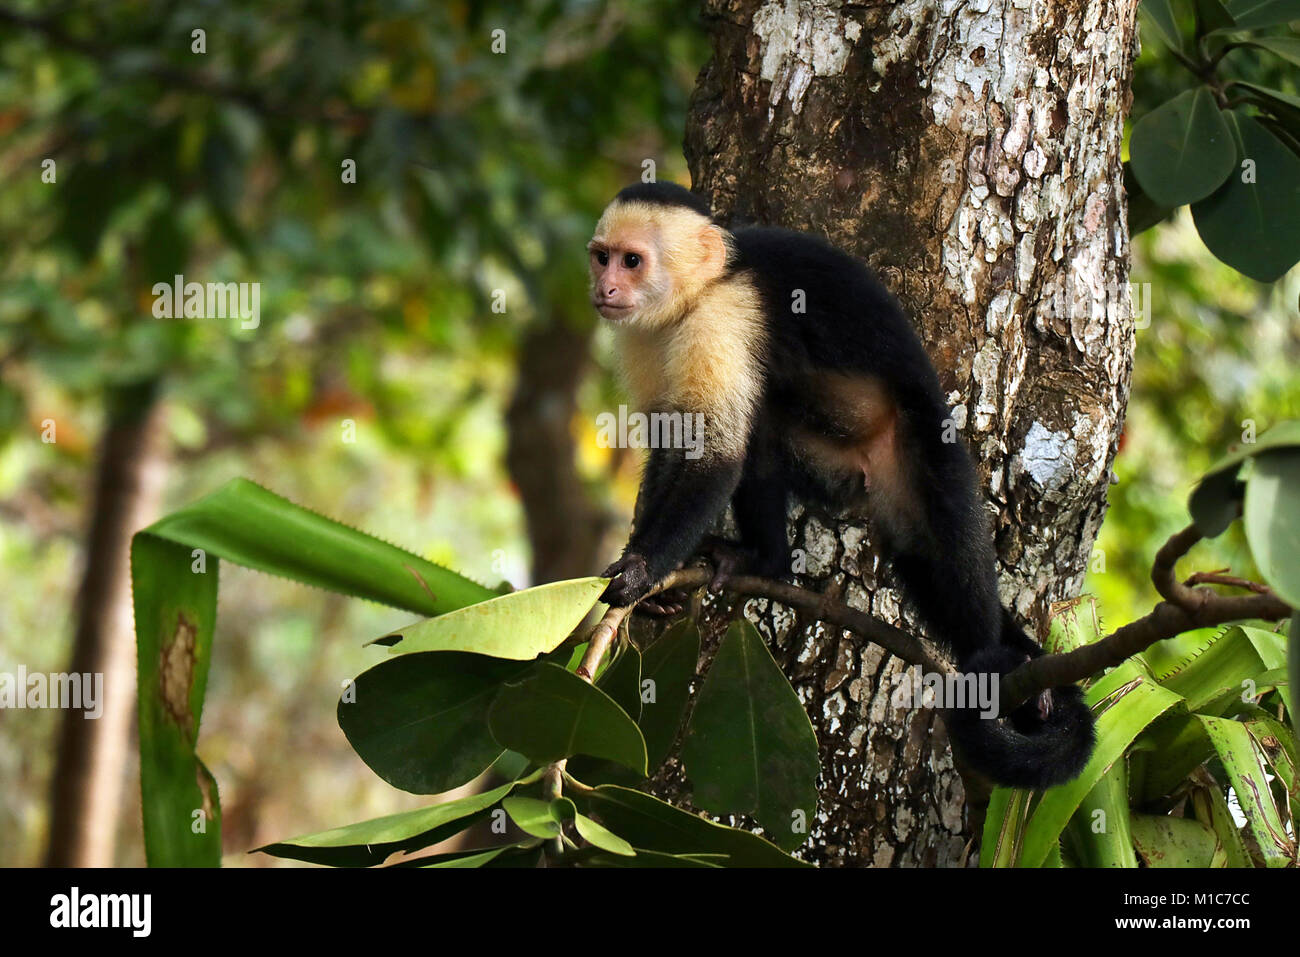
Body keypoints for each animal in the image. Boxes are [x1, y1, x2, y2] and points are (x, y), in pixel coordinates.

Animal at [587, 181, 1095, 790]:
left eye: (632, 261)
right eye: (602, 256)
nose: (604, 288)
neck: (700, 290)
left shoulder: (728, 315)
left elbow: (713, 458)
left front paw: (642, 570)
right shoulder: (646, 334)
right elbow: (675, 443)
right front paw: (657, 576)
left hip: (919, 447)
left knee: (949, 550)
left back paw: (997, 662)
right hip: (829, 464)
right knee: (771, 431)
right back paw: (764, 560)